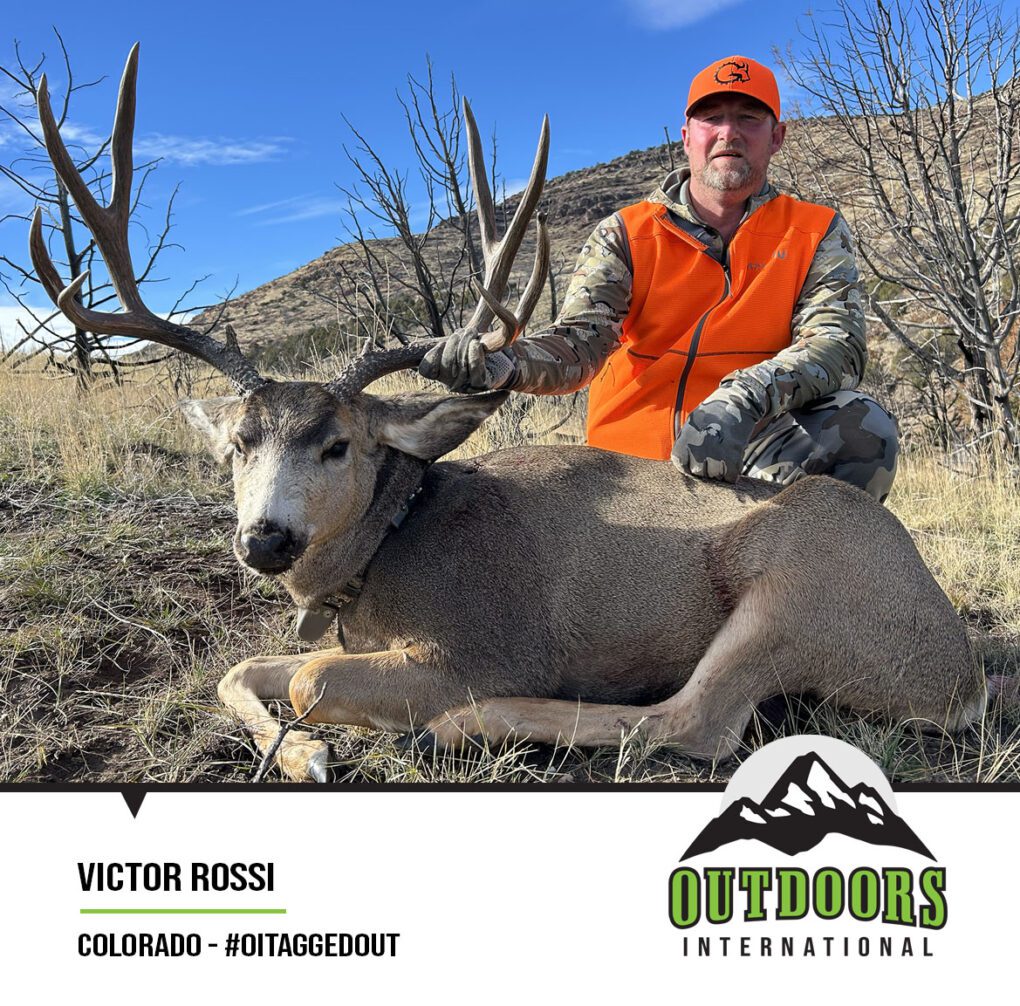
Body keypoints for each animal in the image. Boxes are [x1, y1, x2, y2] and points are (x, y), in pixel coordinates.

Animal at [30, 46, 987, 782]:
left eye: (339, 444)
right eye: (236, 444)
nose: (265, 539)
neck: (391, 548)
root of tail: (960, 666)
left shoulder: (471, 643)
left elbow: (308, 681)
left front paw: (329, 745)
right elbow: (243, 668)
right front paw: (304, 755)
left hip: (796, 584)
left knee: (697, 722)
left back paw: (468, 724)